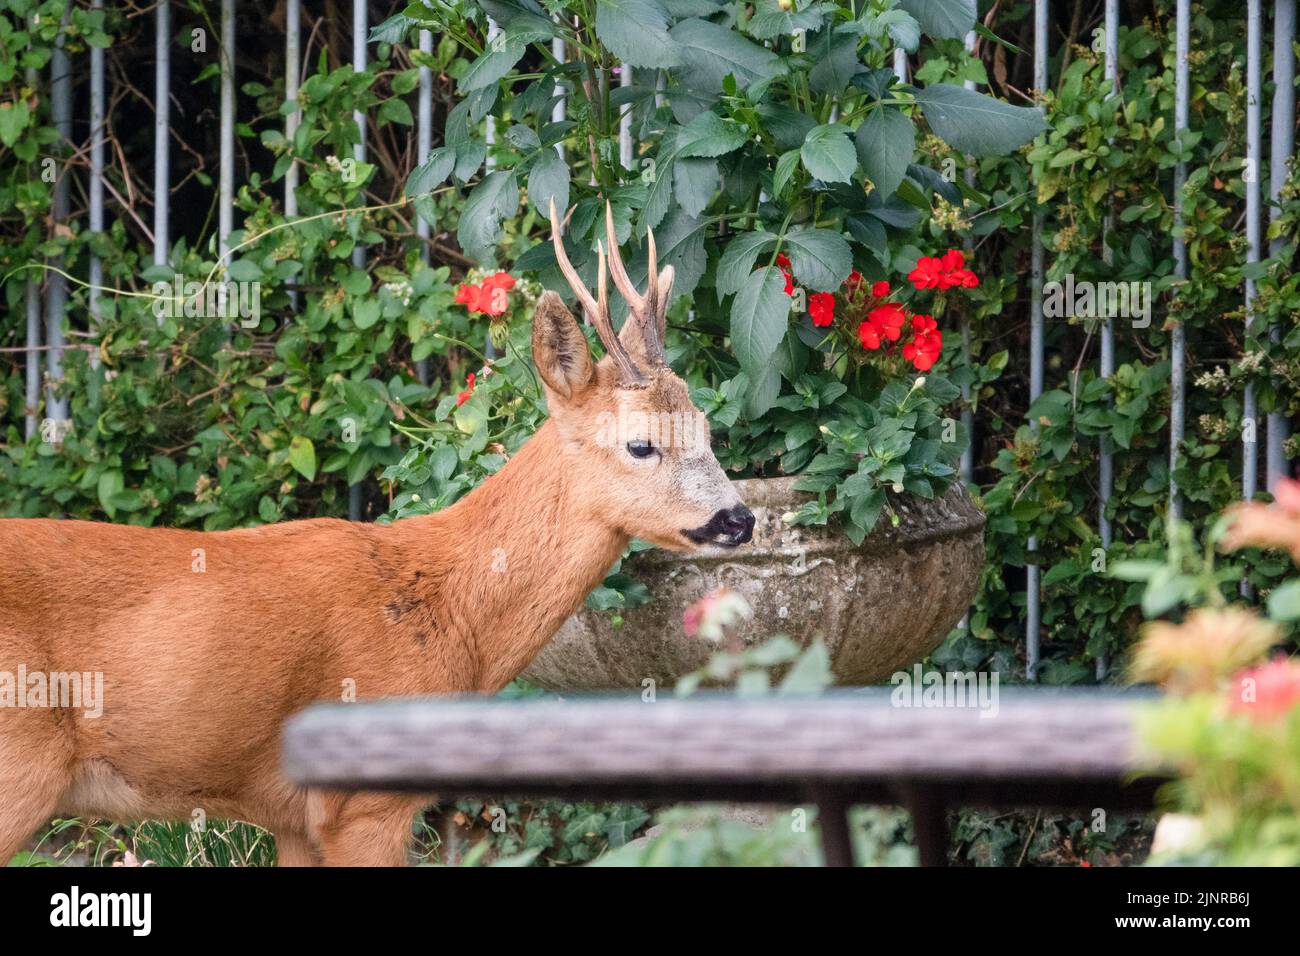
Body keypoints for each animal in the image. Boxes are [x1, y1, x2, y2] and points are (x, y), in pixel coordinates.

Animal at [0, 203, 755, 866]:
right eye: (640, 444)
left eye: (706, 428)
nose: (740, 519)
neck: (453, 612)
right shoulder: (364, 805)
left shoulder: (294, 820)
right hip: (19, 767)